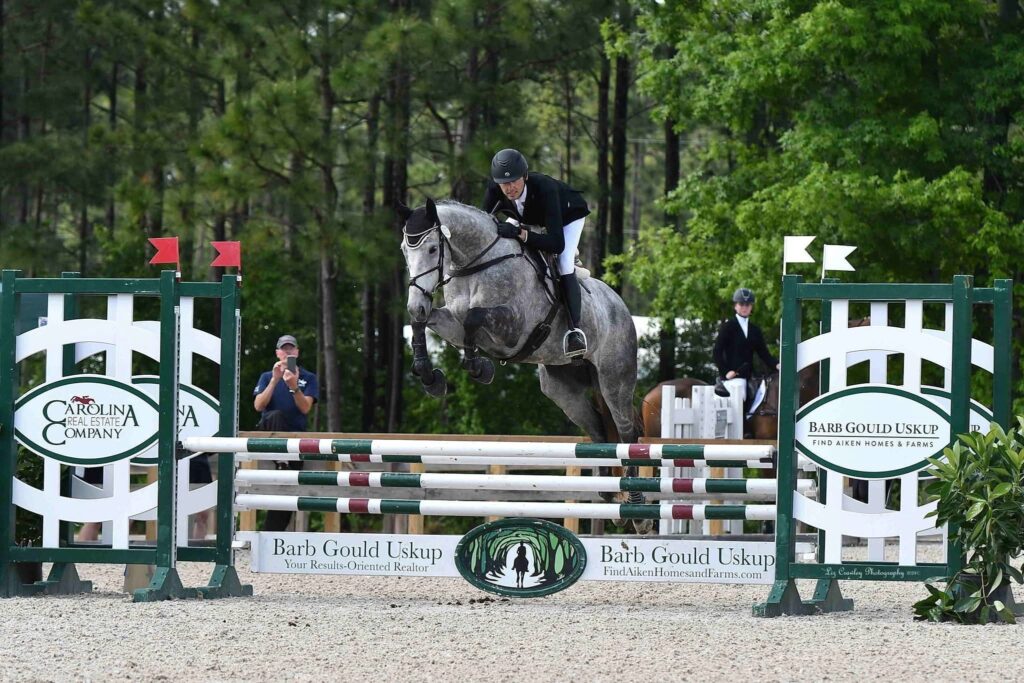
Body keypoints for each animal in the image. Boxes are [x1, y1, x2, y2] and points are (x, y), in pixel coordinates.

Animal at [397, 198, 649, 532]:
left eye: (431, 249)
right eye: (404, 249)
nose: (416, 303)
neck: (477, 265)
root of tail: (620, 305)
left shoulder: (513, 326)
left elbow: (474, 318)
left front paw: (479, 368)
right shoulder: (450, 320)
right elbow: (428, 322)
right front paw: (430, 376)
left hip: (614, 380)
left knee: (626, 433)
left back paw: (637, 510)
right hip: (561, 389)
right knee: (597, 429)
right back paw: (607, 493)